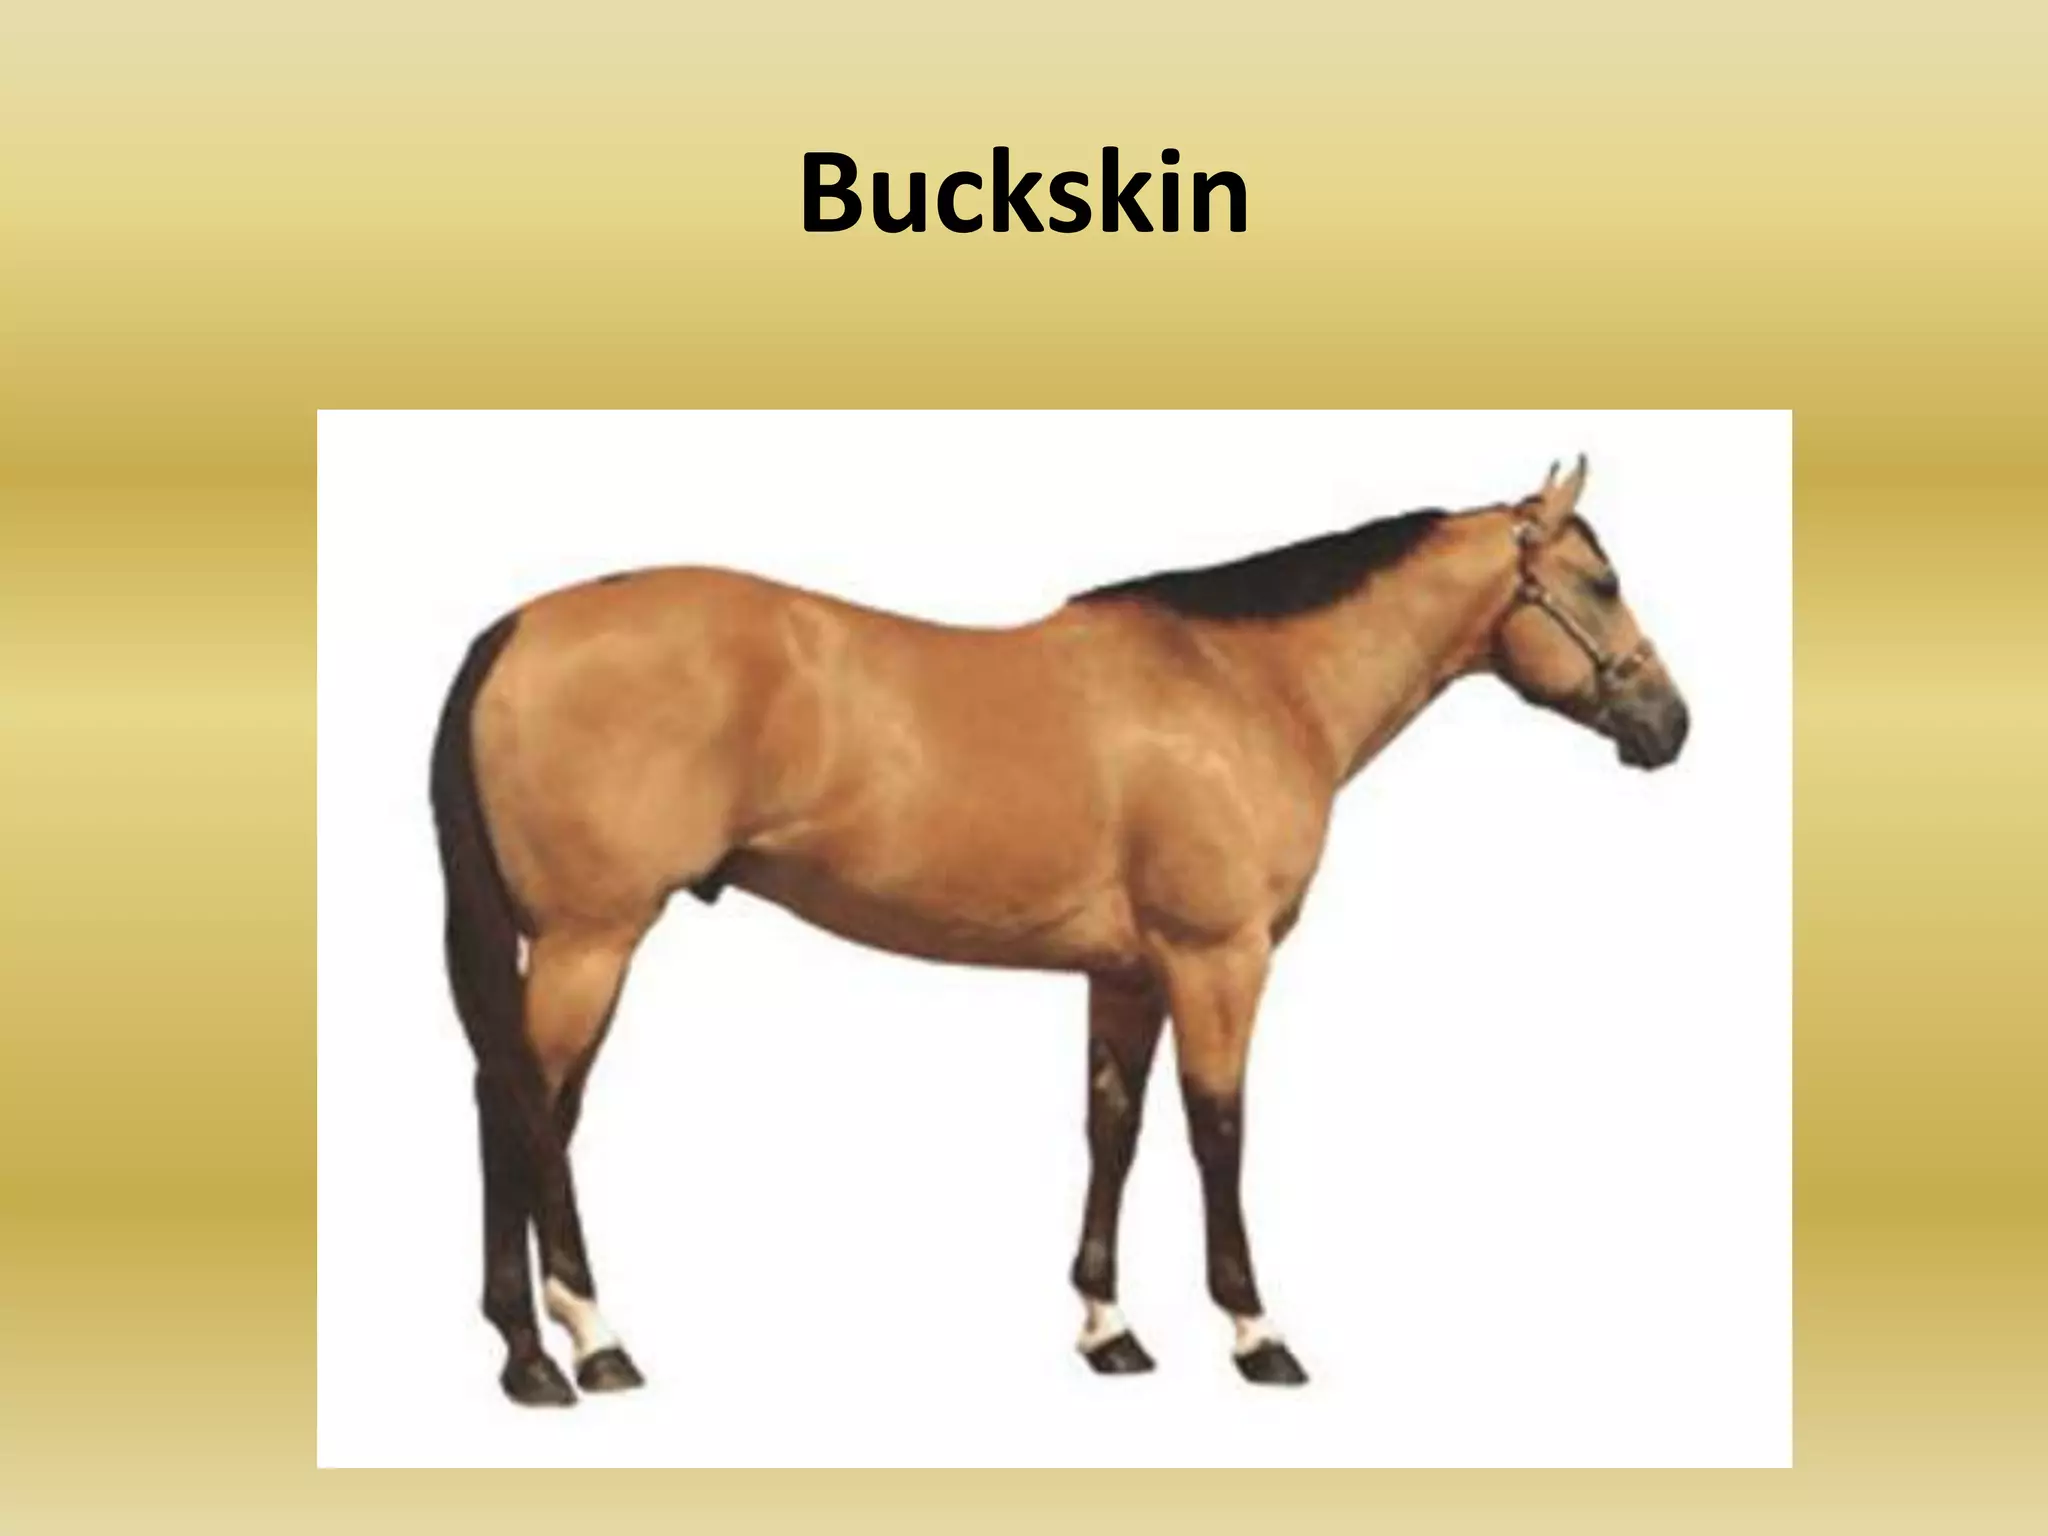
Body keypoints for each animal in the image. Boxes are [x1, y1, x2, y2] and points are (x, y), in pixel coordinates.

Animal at [429, 455, 1689, 1406]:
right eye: (1600, 580)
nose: (1668, 722)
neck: (1242, 683)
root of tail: (515, 628)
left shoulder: (1125, 975)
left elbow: (1111, 1132)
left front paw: (1107, 1331)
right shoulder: (1217, 960)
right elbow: (1217, 1132)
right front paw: (1255, 1334)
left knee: (524, 1108)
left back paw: (532, 1349)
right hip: (592, 941)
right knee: (521, 1109)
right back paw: (577, 1348)